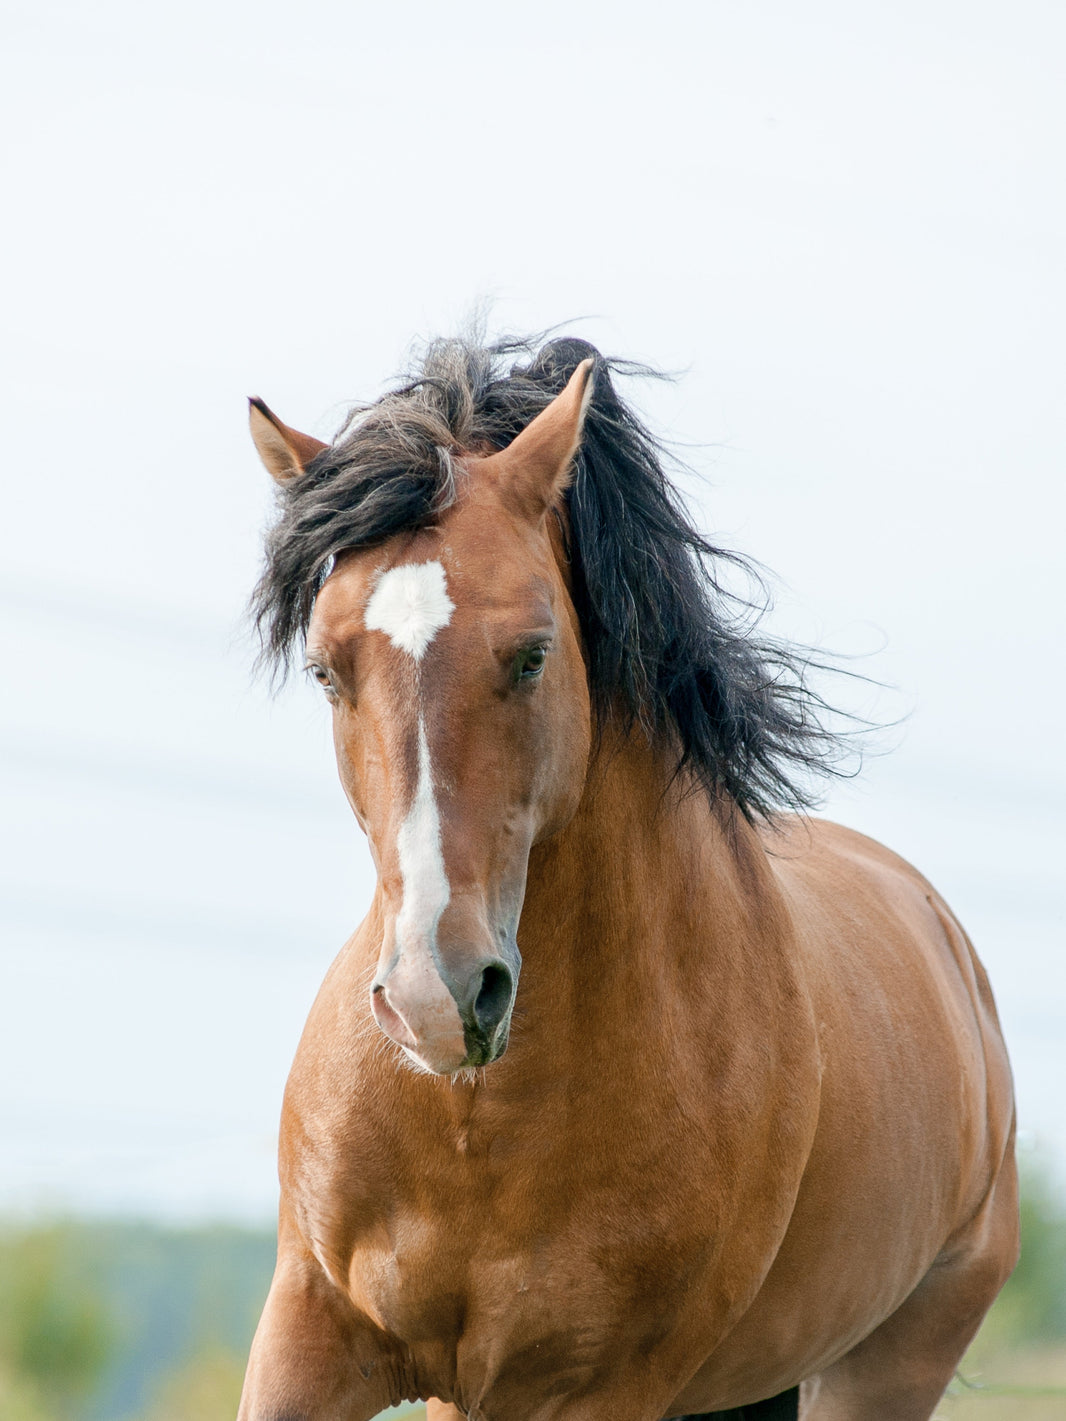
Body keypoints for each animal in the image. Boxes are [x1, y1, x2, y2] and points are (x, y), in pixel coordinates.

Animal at [238, 334, 1018, 1421]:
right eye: (324, 670)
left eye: (532, 655)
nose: (436, 997)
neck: (482, 1120)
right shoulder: (313, 1335)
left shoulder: (601, 1389)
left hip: (885, 1365)